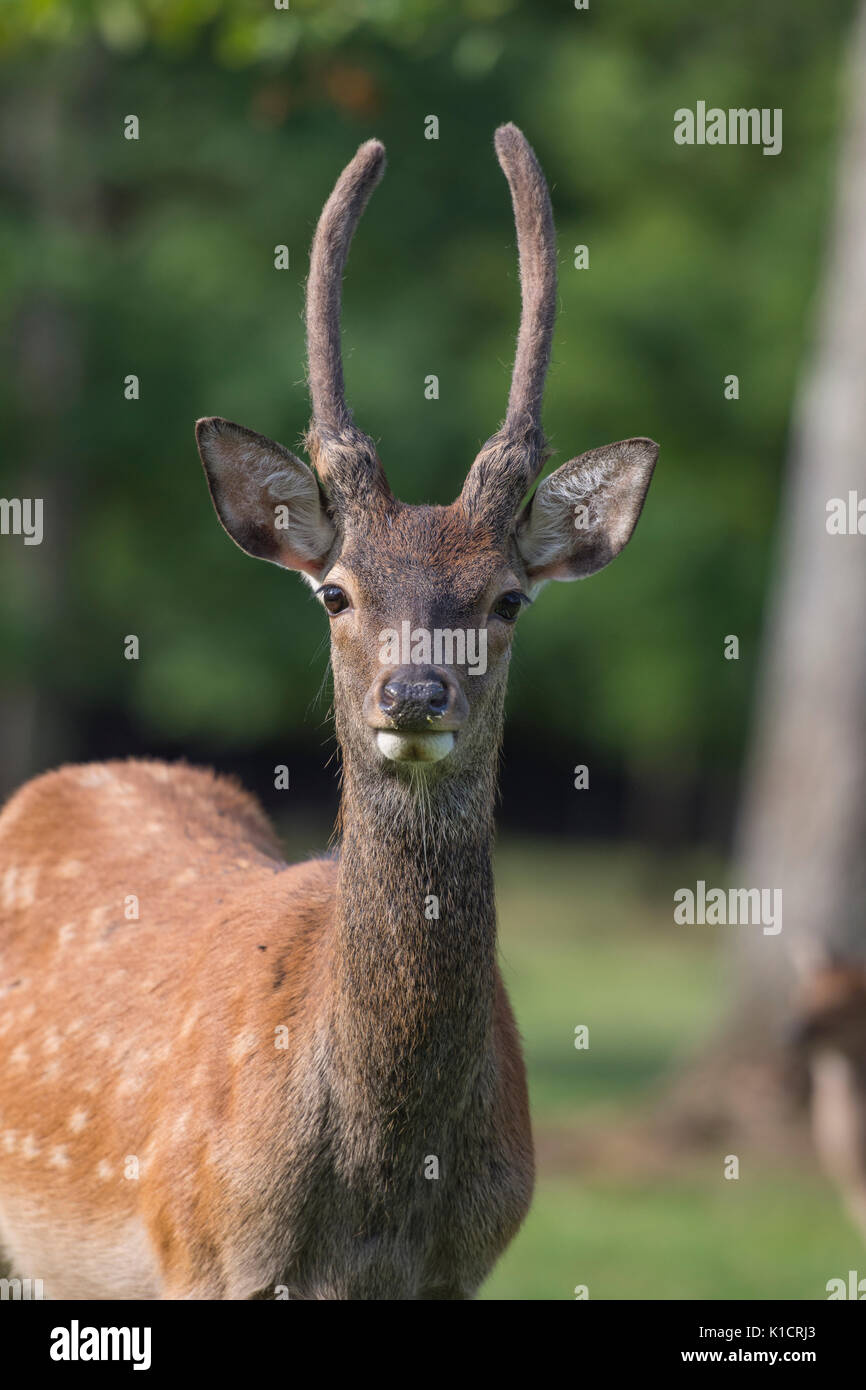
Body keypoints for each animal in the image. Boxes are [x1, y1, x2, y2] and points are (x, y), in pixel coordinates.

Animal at [0, 125, 657, 1300]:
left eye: (507, 598)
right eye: (336, 593)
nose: (414, 690)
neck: (379, 1196)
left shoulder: (464, 1265)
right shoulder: (198, 1248)